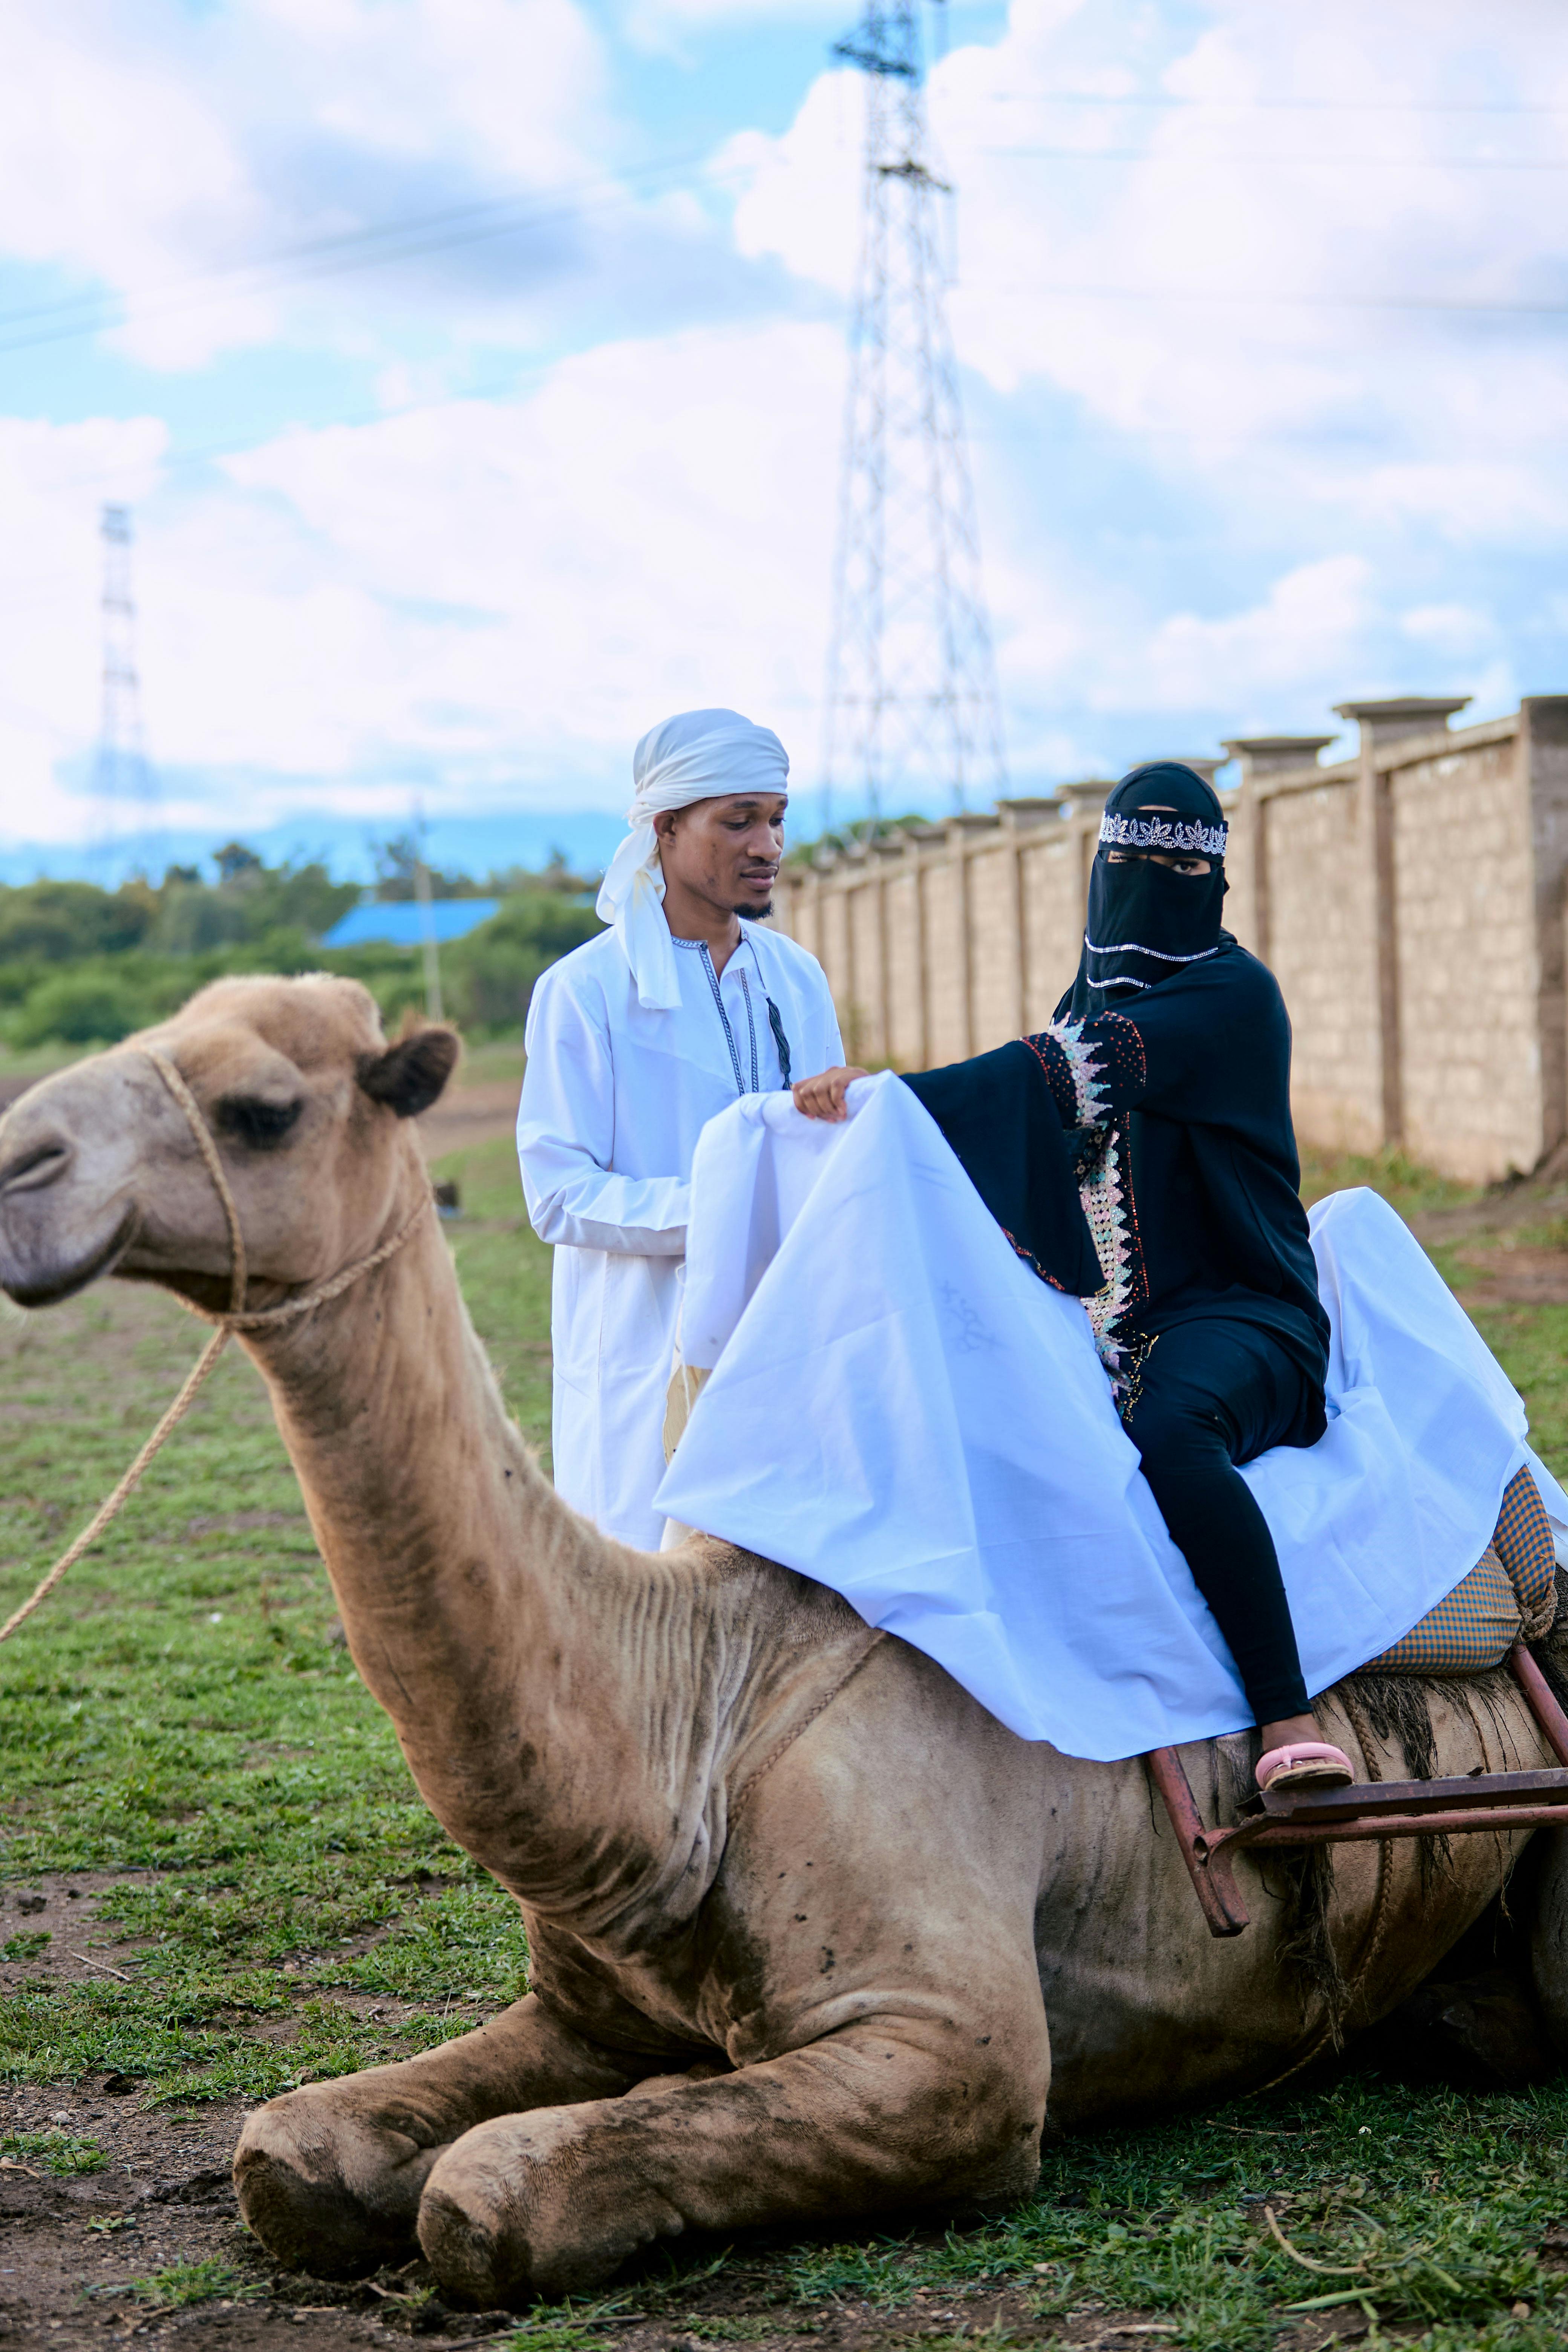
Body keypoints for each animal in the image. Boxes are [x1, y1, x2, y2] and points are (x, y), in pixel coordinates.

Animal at [2, 973, 1567, 2311]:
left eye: (261, 1107)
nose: (21, 1160)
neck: (692, 1725)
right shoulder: (586, 2006)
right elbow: (291, 2153)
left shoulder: (957, 2050)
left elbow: (489, 2192)